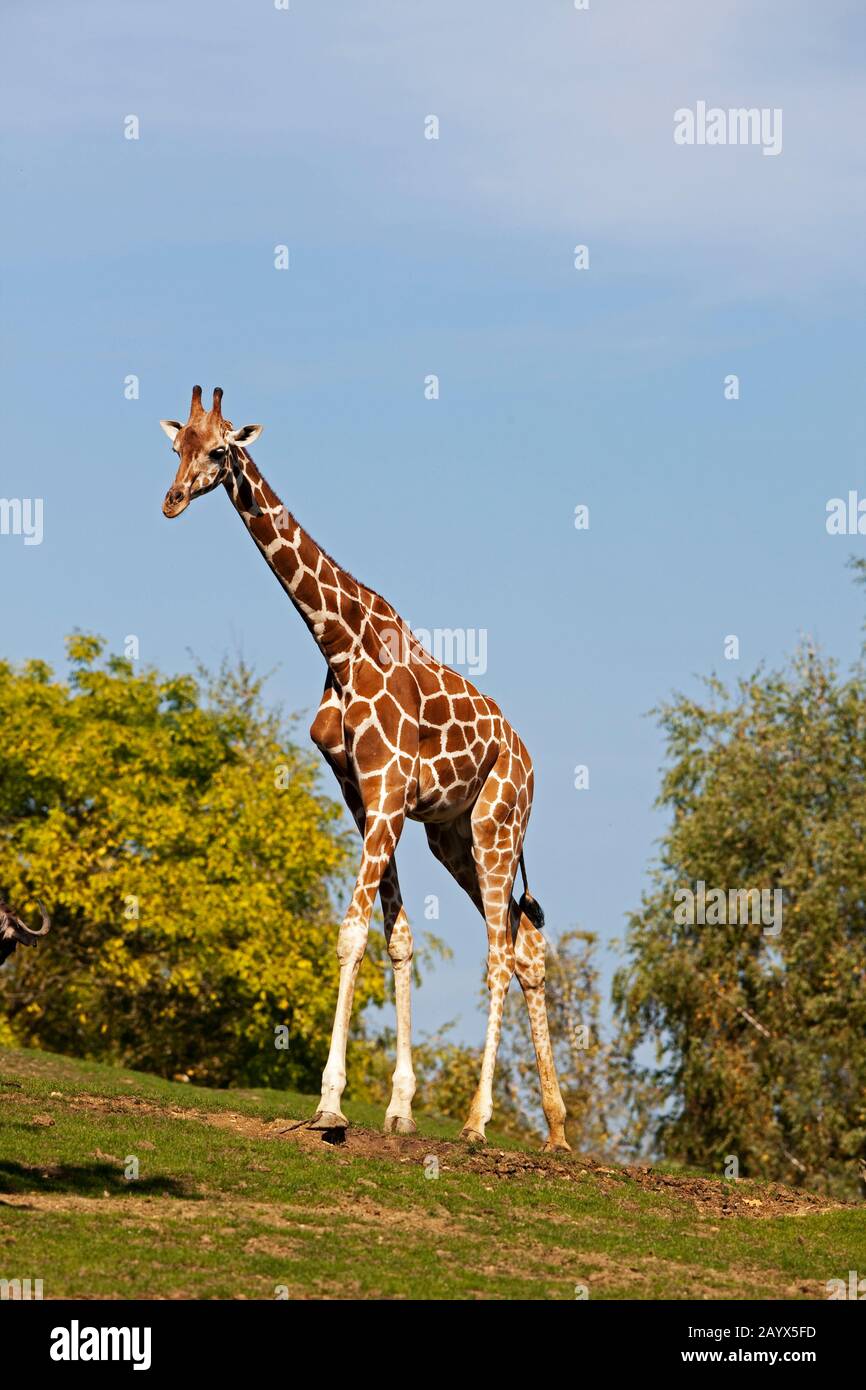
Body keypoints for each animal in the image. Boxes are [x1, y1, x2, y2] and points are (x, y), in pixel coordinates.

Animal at [159, 386, 569, 1150]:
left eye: (221, 449)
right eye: (176, 445)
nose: (171, 500)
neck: (341, 644)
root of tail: (529, 766)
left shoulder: (387, 795)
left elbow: (353, 933)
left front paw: (329, 1105)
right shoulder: (365, 796)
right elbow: (398, 938)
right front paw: (399, 1109)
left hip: (496, 827)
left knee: (501, 953)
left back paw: (477, 1121)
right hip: (452, 836)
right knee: (527, 946)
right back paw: (557, 1131)